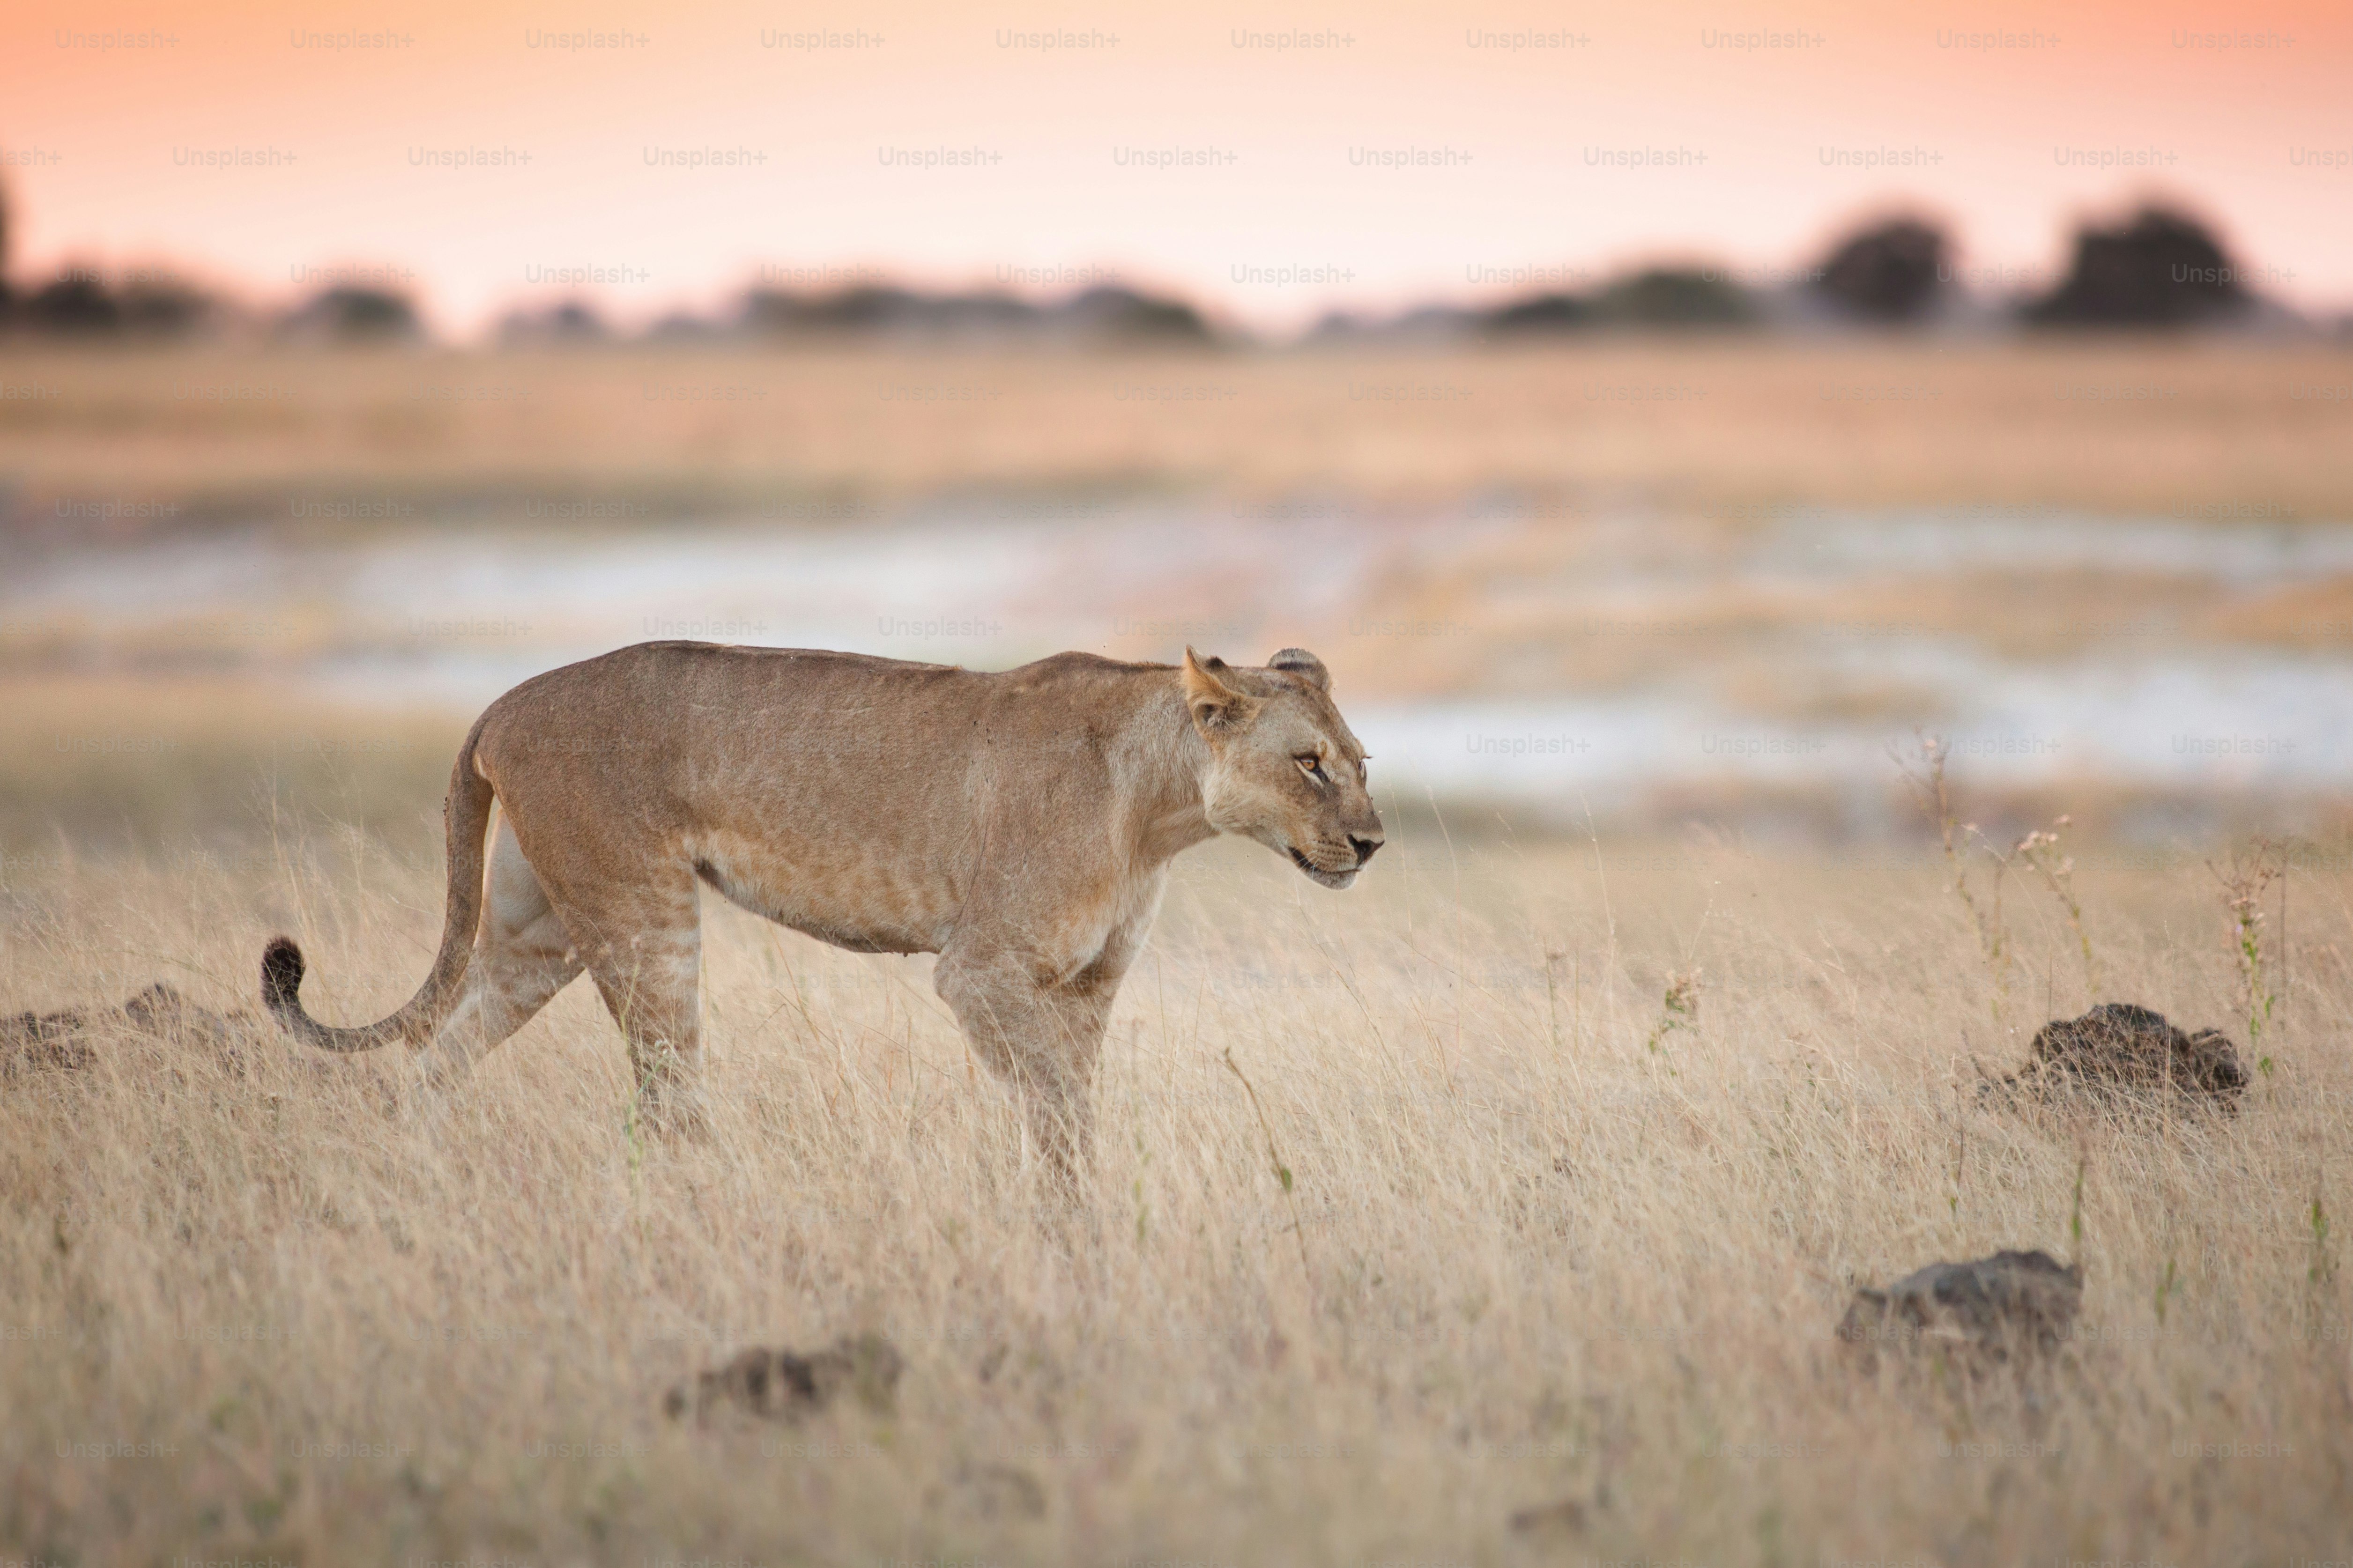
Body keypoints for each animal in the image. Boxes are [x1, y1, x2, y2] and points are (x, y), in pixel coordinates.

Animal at [261, 642, 1382, 1180]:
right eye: (1308, 763)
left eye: (1360, 763)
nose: (1372, 844)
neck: (1158, 811)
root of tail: (500, 701)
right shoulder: (980, 970)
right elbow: (1054, 1110)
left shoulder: (1085, 989)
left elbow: (1073, 1111)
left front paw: (1070, 1220)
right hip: (644, 914)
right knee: (668, 1101)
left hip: (538, 932)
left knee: (433, 1060)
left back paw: (418, 1172)